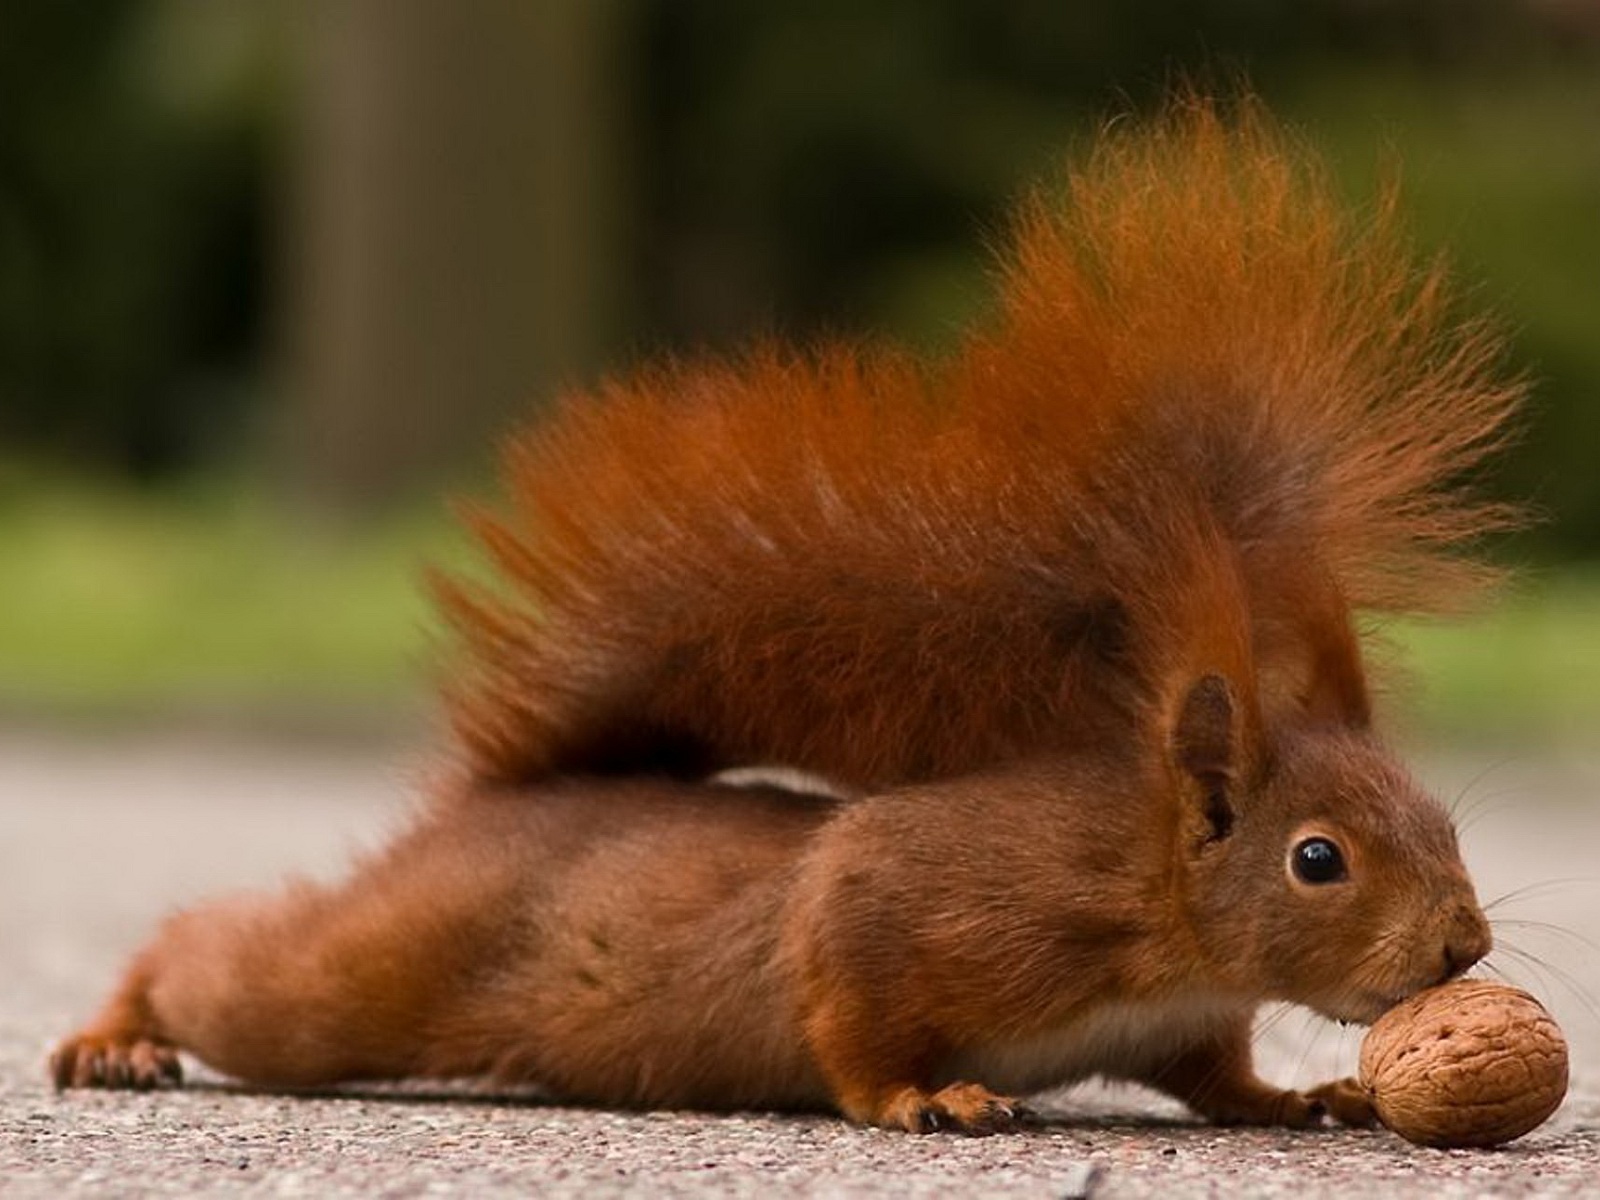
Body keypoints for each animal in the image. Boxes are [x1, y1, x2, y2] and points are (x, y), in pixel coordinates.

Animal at [51, 95, 1516, 1134]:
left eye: (1447, 823)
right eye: (1316, 859)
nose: (1467, 944)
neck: (1153, 904)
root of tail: (496, 806)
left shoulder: (1182, 1026)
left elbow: (1221, 1080)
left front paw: (1298, 1094)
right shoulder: (908, 901)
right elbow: (842, 995)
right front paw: (923, 1096)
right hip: (366, 977)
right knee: (226, 961)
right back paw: (116, 1032)